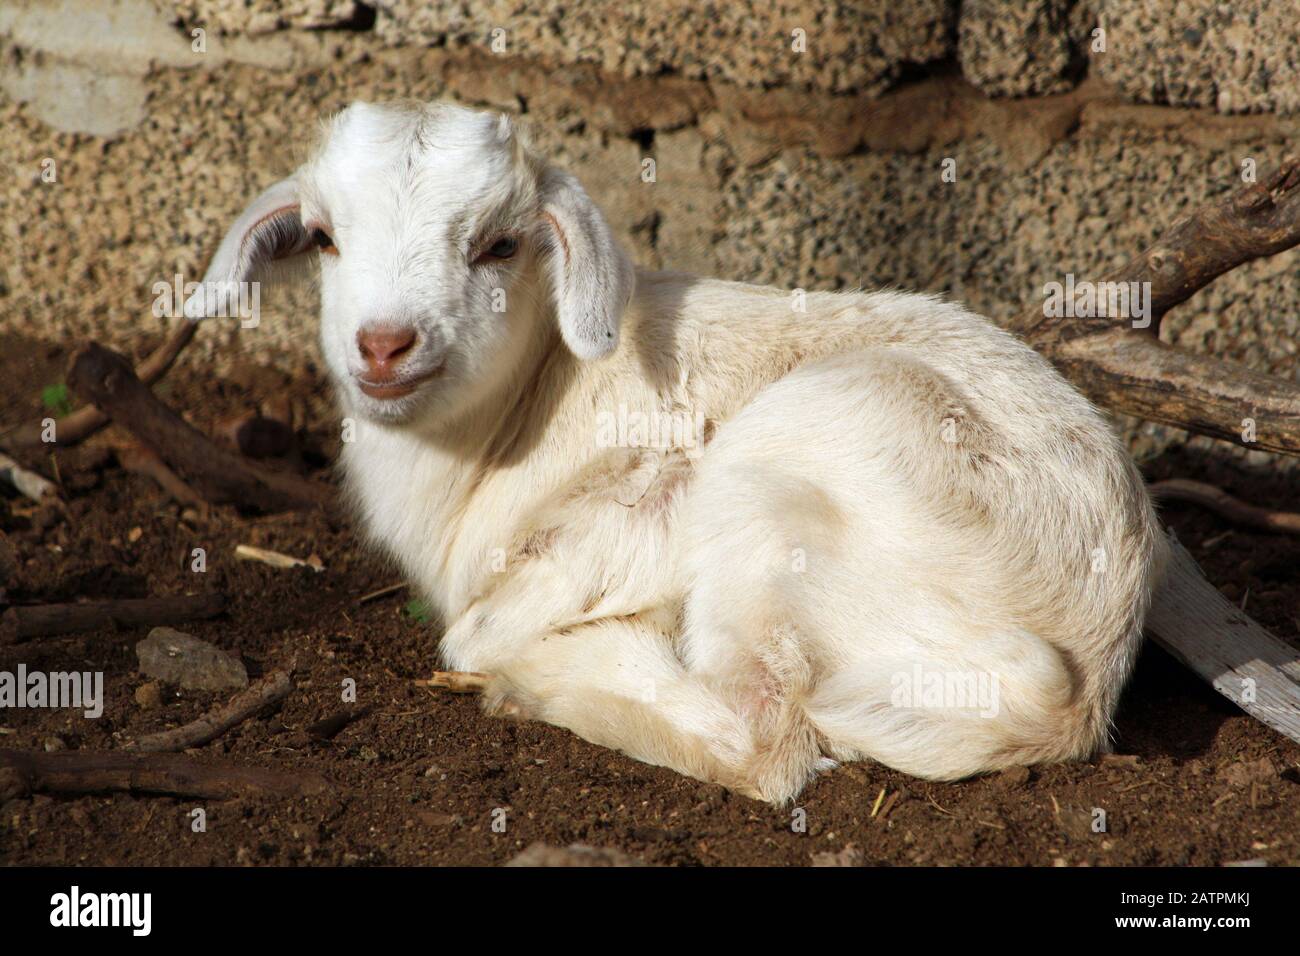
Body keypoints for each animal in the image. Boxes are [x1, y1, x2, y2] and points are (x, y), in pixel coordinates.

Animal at [189, 100, 1166, 803]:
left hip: (787, 481)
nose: (385, 344)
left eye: (499, 245)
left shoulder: (650, 489)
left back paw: (548, 680)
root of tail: (1077, 690)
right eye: (324, 237)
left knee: (765, 742)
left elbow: (478, 626)